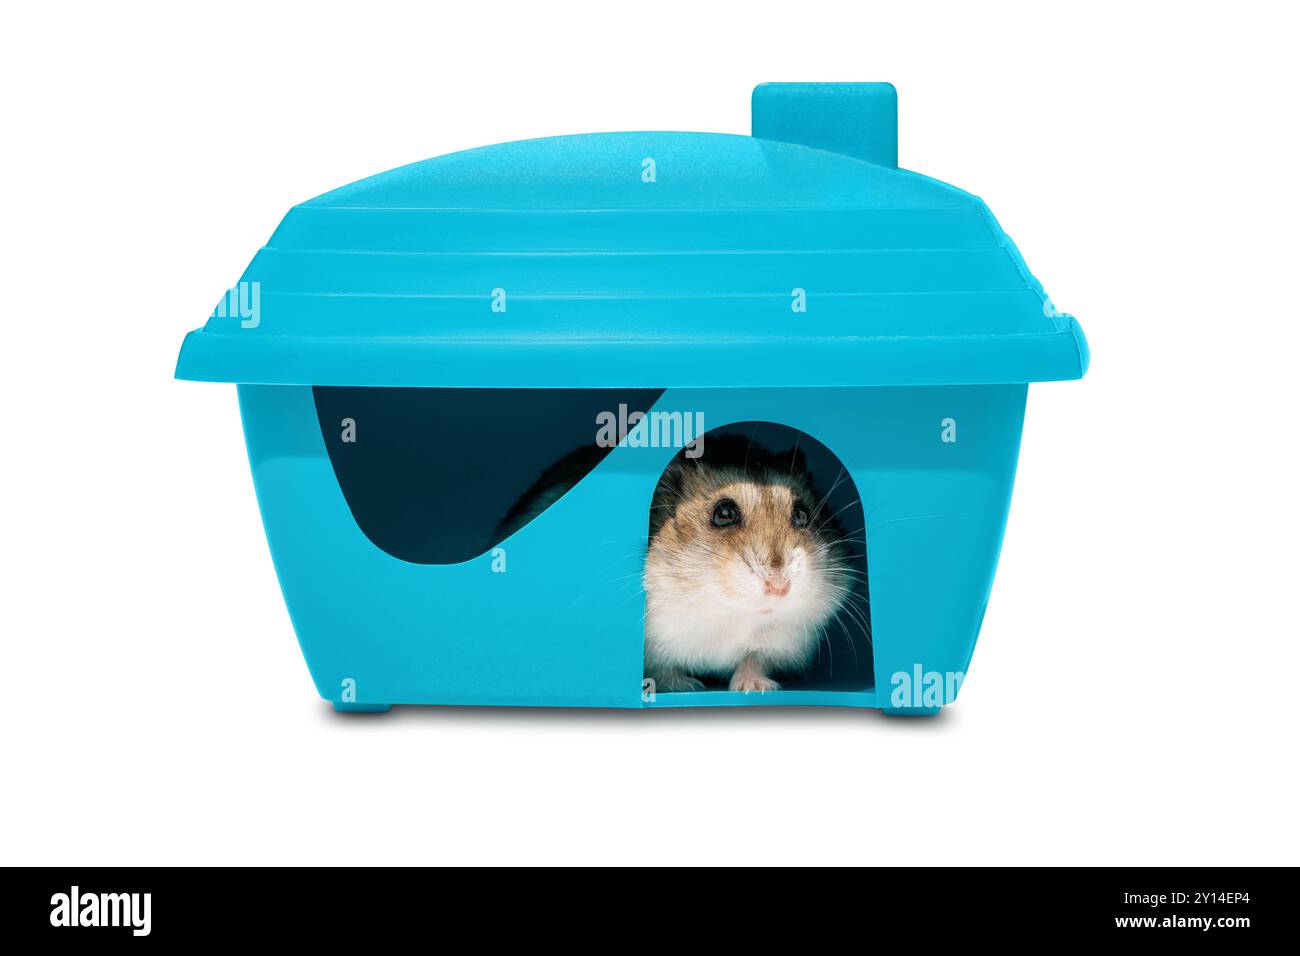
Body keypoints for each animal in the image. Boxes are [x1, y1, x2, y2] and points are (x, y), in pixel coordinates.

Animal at [644, 435, 853, 693]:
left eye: (802, 514)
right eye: (724, 513)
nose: (779, 587)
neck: (729, 611)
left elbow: (753, 659)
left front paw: (756, 687)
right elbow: (663, 669)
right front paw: (686, 686)